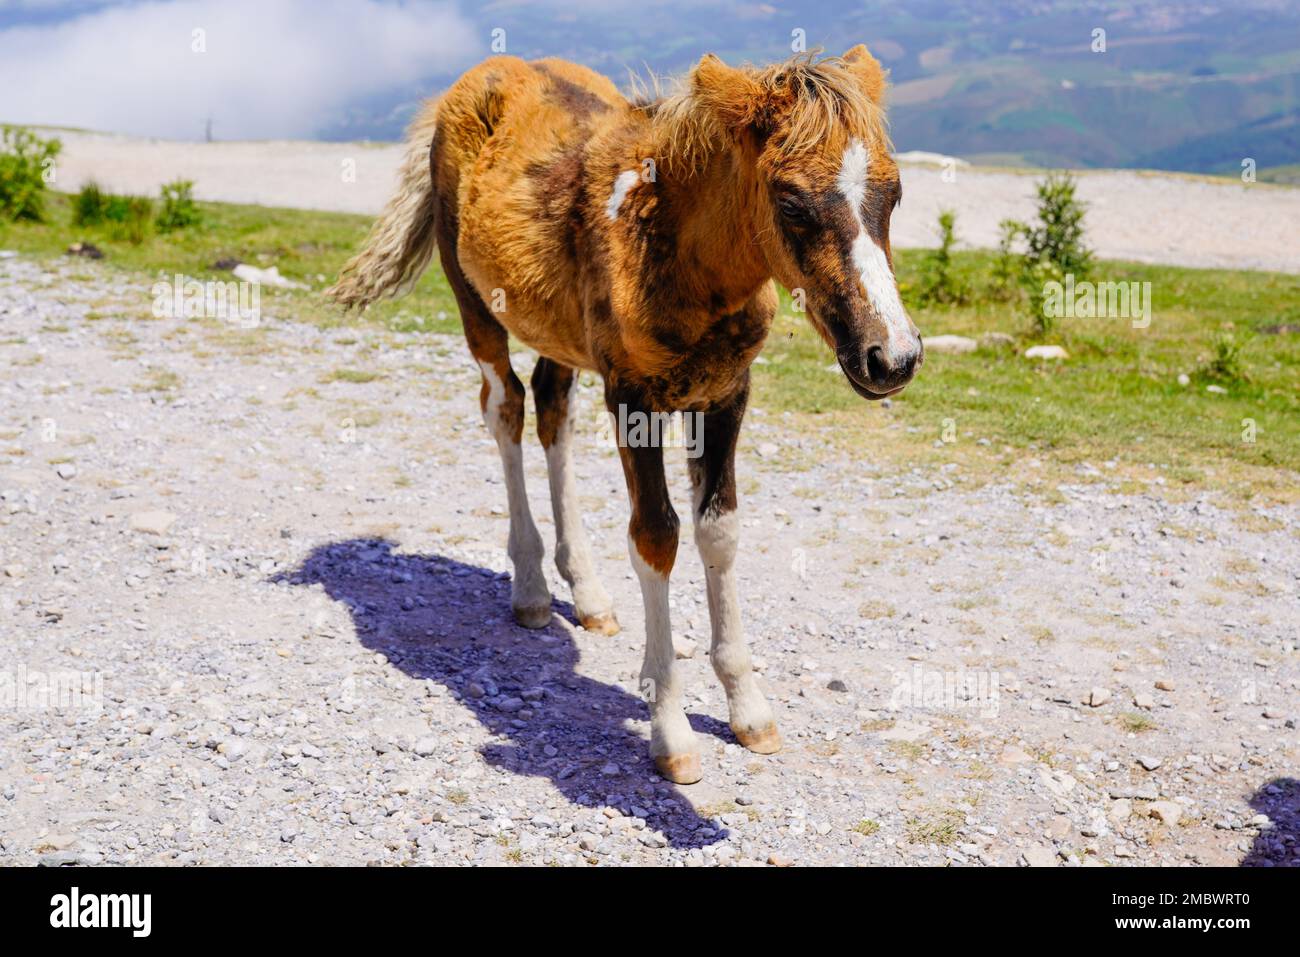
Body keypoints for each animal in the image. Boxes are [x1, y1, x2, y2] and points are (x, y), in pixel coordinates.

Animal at [327, 47, 923, 784]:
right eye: (790, 201)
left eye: (894, 192)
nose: (891, 357)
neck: (682, 256)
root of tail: (480, 77)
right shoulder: (633, 396)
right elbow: (657, 537)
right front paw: (671, 733)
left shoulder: (727, 393)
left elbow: (719, 532)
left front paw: (749, 710)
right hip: (474, 303)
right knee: (506, 408)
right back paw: (531, 588)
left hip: (560, 333)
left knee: (552, 410)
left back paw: (586, 593)